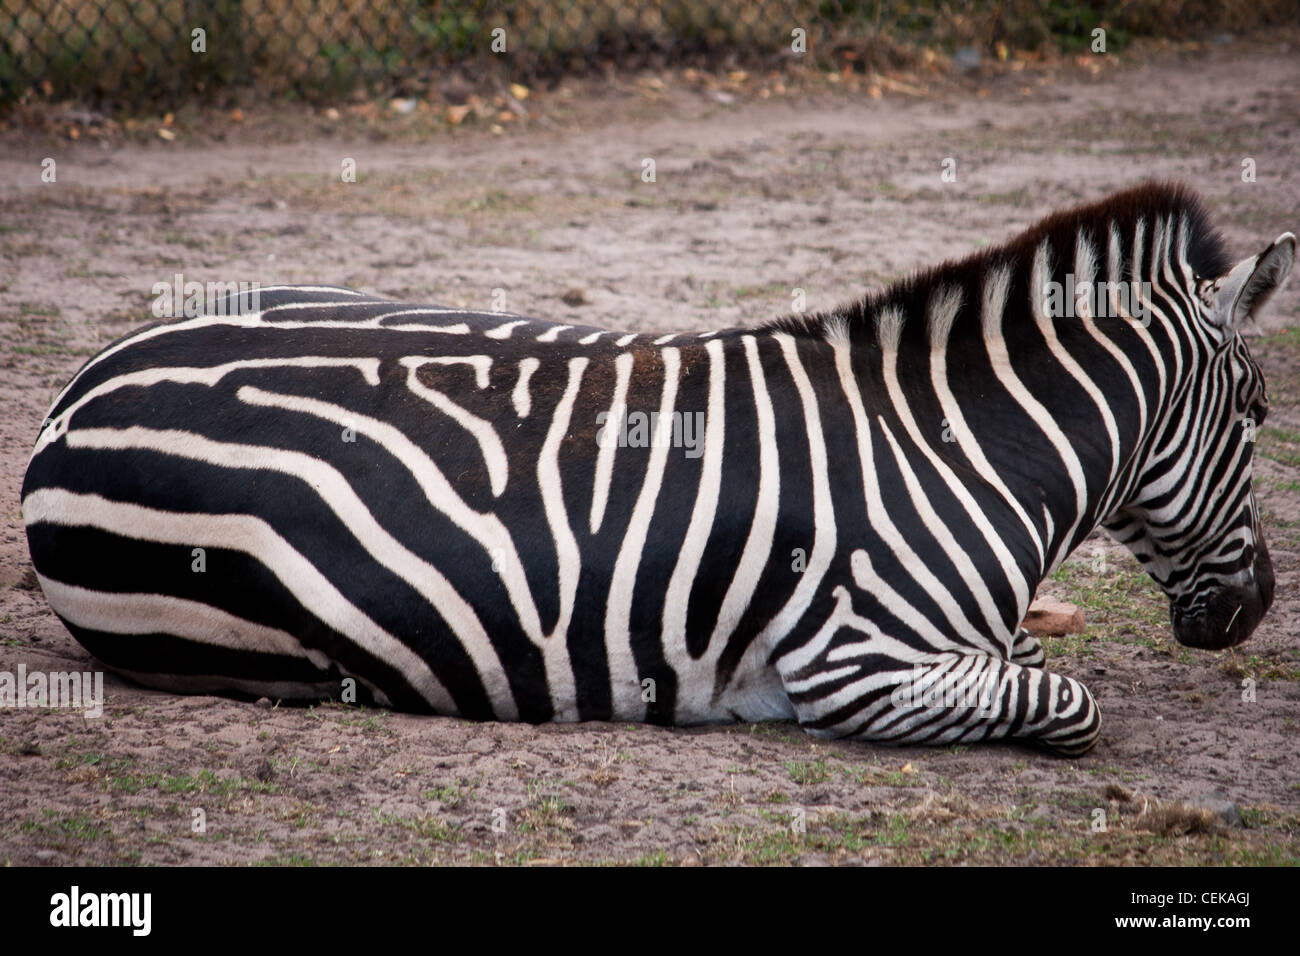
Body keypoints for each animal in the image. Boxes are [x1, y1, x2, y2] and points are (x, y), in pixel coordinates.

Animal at [21, 182, 1293, 755]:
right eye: (1259, 410)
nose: (1256, 606)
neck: (954, 450)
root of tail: (84, 381)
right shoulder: (857, 664)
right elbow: (1070, 705)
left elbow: (1038, 661)